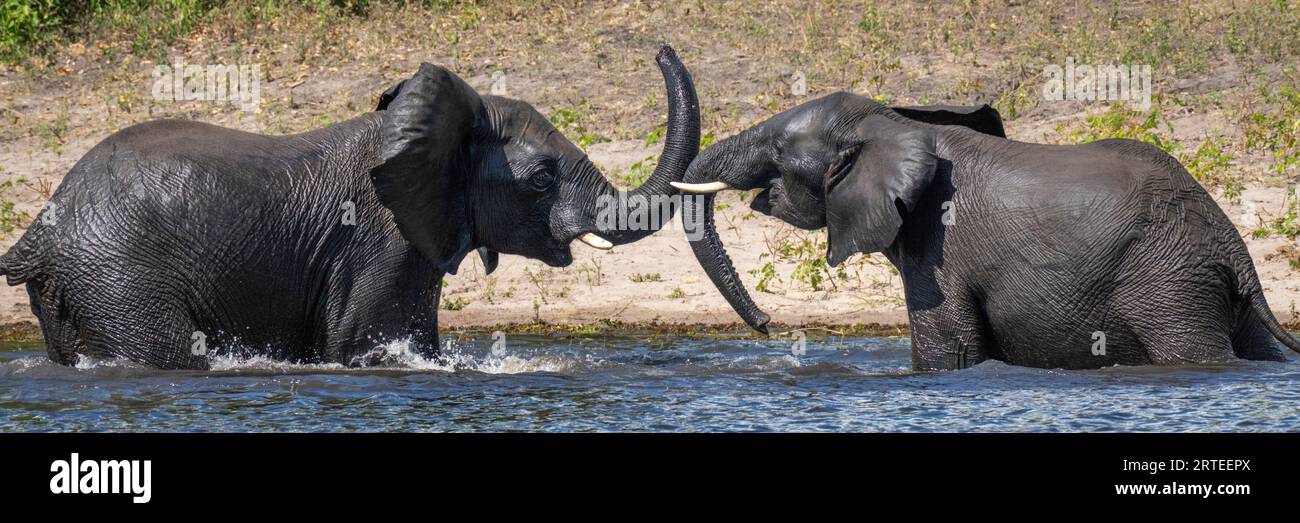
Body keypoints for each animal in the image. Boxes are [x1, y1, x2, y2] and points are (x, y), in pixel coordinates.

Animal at [0, 46, 699, 369]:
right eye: (542, 178)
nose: (660, 50)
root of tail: (43, 226)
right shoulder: (384, 242)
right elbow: (369, 346)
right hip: (119, 276)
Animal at [673, 92, 1300, 370]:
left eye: (779, 150)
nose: (768, 325)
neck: (892, 125)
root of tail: (1235, 249)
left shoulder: (941, 246)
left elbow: (946, 347)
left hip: (1170, 282)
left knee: (1192, 351)